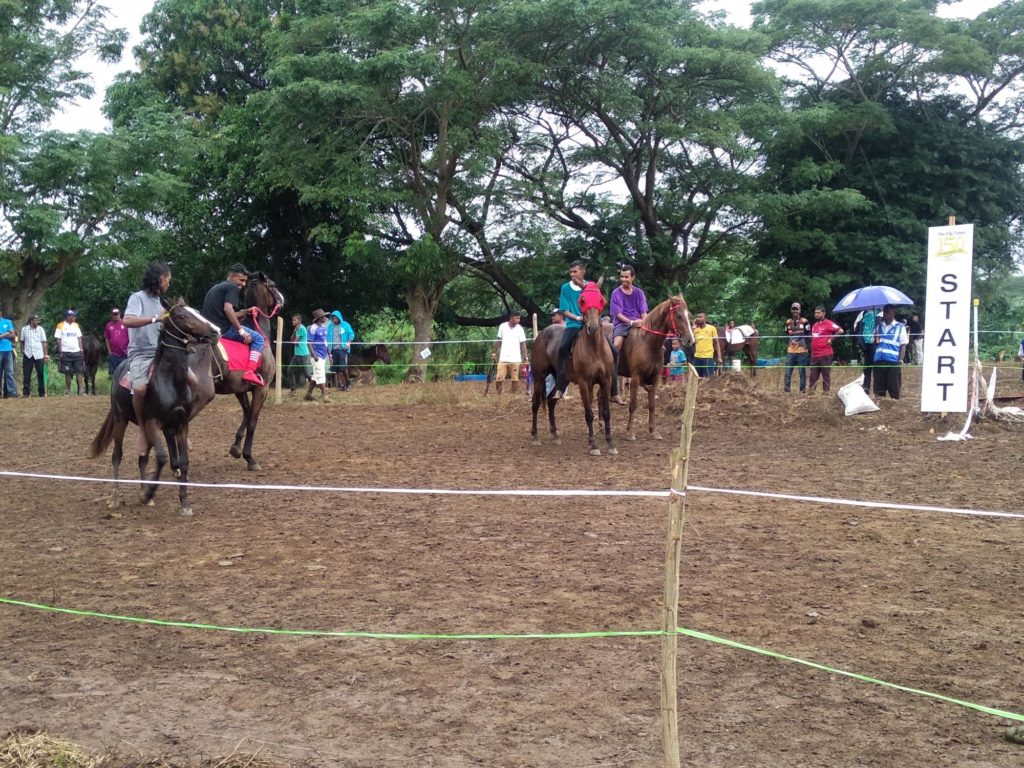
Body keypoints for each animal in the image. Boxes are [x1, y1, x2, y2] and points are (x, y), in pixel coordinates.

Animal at [88, 300, 221, 517]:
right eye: (182, 316)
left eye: (196, 311)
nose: (215, 330)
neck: (171, 381)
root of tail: (120, 369)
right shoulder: (153, 423)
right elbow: (161, 457)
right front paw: (148, 493)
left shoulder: (181, 424)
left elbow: (182, 462)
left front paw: (183, 503)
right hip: (120, 419)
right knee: (117, 456)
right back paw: (115, 497)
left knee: (142, 458)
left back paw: (144, 491)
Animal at [190, 271, 284, 470]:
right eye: (273, 285)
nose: (282, 299)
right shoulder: (261, 389)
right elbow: (253, 421)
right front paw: (249, 457)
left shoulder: (239, 390)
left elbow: (247, 414)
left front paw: (236, 447)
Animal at [531, 282, 617, 456]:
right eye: (582, 301)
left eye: (600, 299)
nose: (592, 328)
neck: (595, 349)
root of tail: (542, 334)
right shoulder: (584, 383)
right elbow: (589, 414)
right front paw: (593, 445)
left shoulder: (606, 381)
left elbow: (606, 412)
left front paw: (610, 443)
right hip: (539, 377)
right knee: (536, 403)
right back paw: (535, 436)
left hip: (561, 379)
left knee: (551, 401)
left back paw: (555, 435)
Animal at [617, 296, 696, 441]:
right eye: (678, 315)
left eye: (688, 315)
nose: (690, 340)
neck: (648, 343)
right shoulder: (635, 378)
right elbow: (633, 404)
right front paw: (630, 432)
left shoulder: (655, 378)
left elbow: (652, 405)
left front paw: (653, 431)